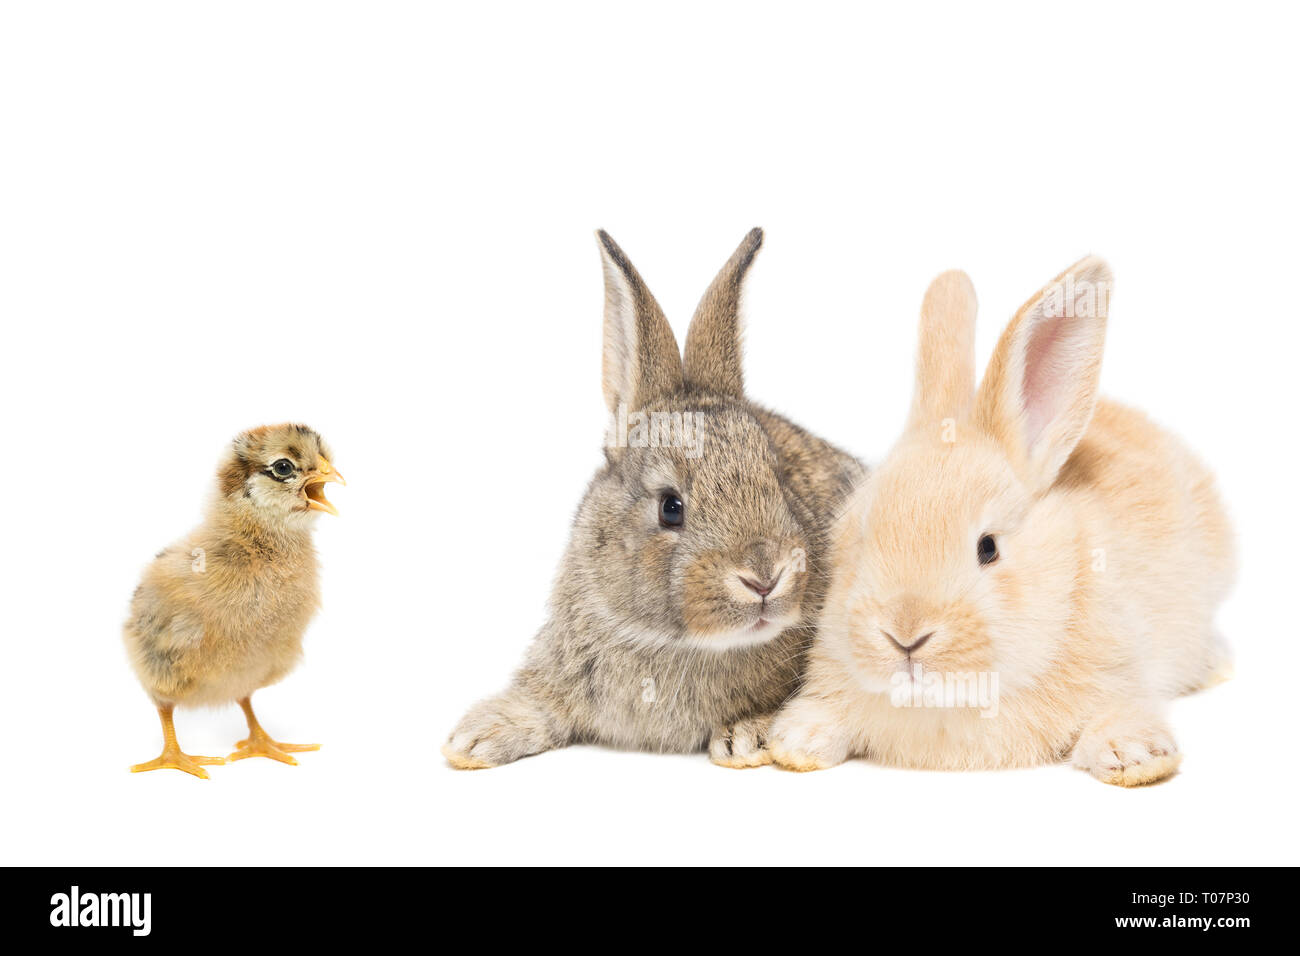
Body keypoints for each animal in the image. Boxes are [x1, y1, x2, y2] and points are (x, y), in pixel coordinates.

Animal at [764, 257, 1234, 786]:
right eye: (860, 540)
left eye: (987, 547)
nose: (905, 636)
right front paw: (797, 740)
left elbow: (1121, 709)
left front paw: (1133, 755)